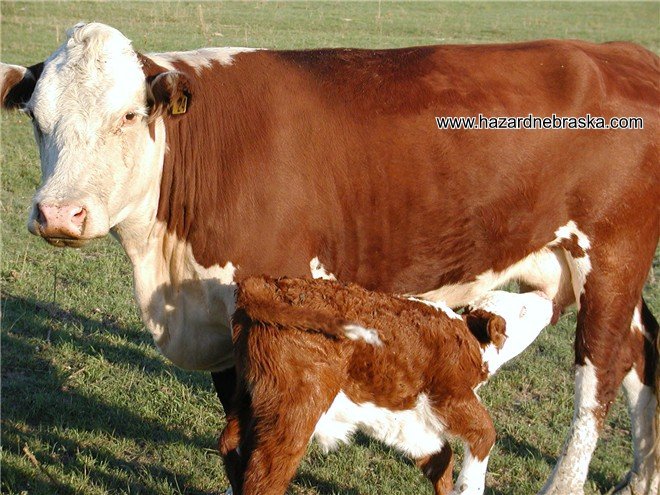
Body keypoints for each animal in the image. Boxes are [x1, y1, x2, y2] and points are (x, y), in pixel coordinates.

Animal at [220, 276, 556, 495]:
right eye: (522, 310)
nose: (545, 297)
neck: (469, 340)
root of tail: (265, 287)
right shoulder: (450, 396)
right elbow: (486, 431)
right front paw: (469, 486)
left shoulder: (401, 415)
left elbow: (439, 455)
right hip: (297, 408)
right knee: (265, 474)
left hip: (250, 395)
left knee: (229, 441)